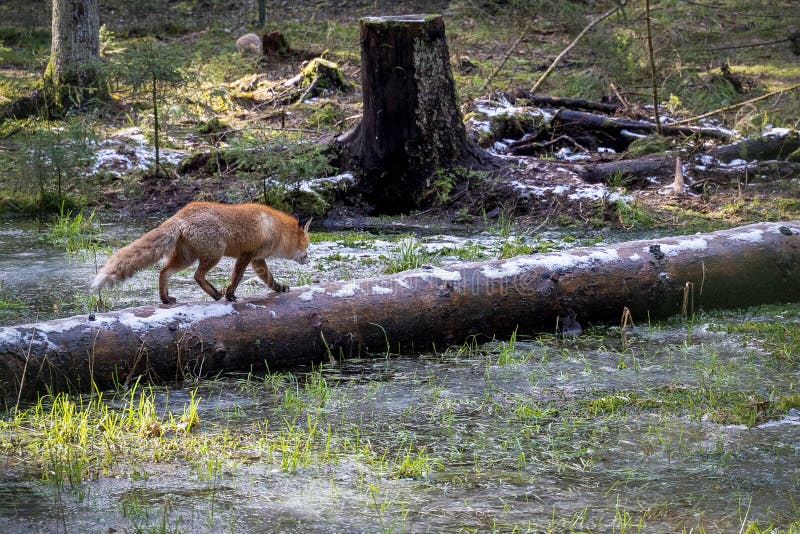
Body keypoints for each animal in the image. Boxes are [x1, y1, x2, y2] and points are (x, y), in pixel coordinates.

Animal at [91, 201, 312, 304]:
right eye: (307, 246)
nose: (309, 261)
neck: (276, 228)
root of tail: (180, 214)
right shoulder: (247, 255)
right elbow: (237, 277)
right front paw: (230, 295)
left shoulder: (257, 259)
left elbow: (269, 280)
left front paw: (280, 288)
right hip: (215, 254)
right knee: (197, 276)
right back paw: (215, 294)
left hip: (186, 258)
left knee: (163, 272)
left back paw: (165, 299)